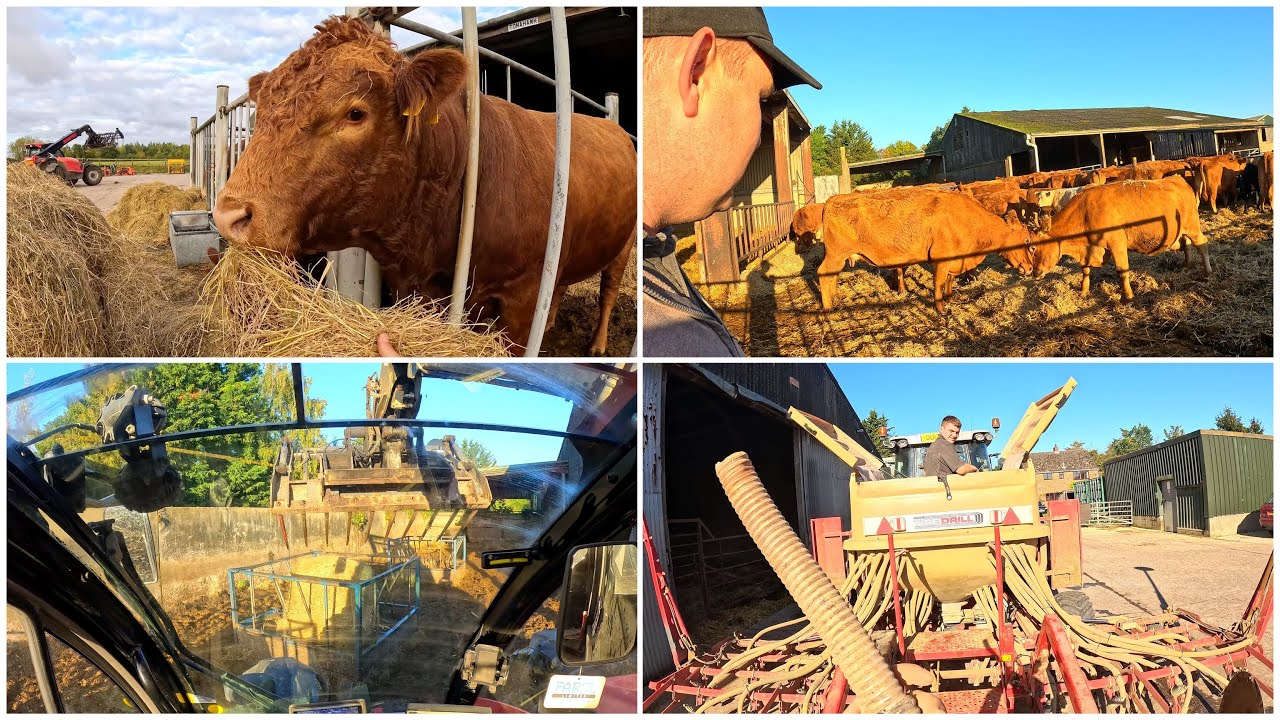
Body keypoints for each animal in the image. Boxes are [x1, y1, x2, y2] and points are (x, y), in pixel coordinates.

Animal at [211, 16, 637, 355]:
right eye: (263, 111)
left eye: (355, 113)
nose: (230, 214)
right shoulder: (415, 289)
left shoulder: (523, 297)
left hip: (622, 247)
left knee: (608, 292)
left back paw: (598, 344)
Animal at [817, 190, 1033, 313]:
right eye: (1027, 239)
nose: (1030, 268)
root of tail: (832, 200)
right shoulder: (941, 260)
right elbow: (938, 285)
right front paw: (941, 309)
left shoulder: (954, 261)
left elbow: (949, 282)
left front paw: (950, 298)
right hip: (835, 254)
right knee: (823, 274)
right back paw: (828, 308)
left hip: (839, 257)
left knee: (832, 276)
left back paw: (835, 298)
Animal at [1027, 177, 1209, 300]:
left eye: (1036, 248)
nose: (1034, 273)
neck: (1085, 211)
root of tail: (1177, 179)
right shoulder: (1089, 248)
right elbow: (1085, 270)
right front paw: (1084, 291)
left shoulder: (1117, 243)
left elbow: (1122, 271)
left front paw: (1128, 296)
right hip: (1183, 231)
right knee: (1186, 244)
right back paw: (1185, 264)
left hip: (1193, 227)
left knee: (1202, 244)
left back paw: (1207, 272)